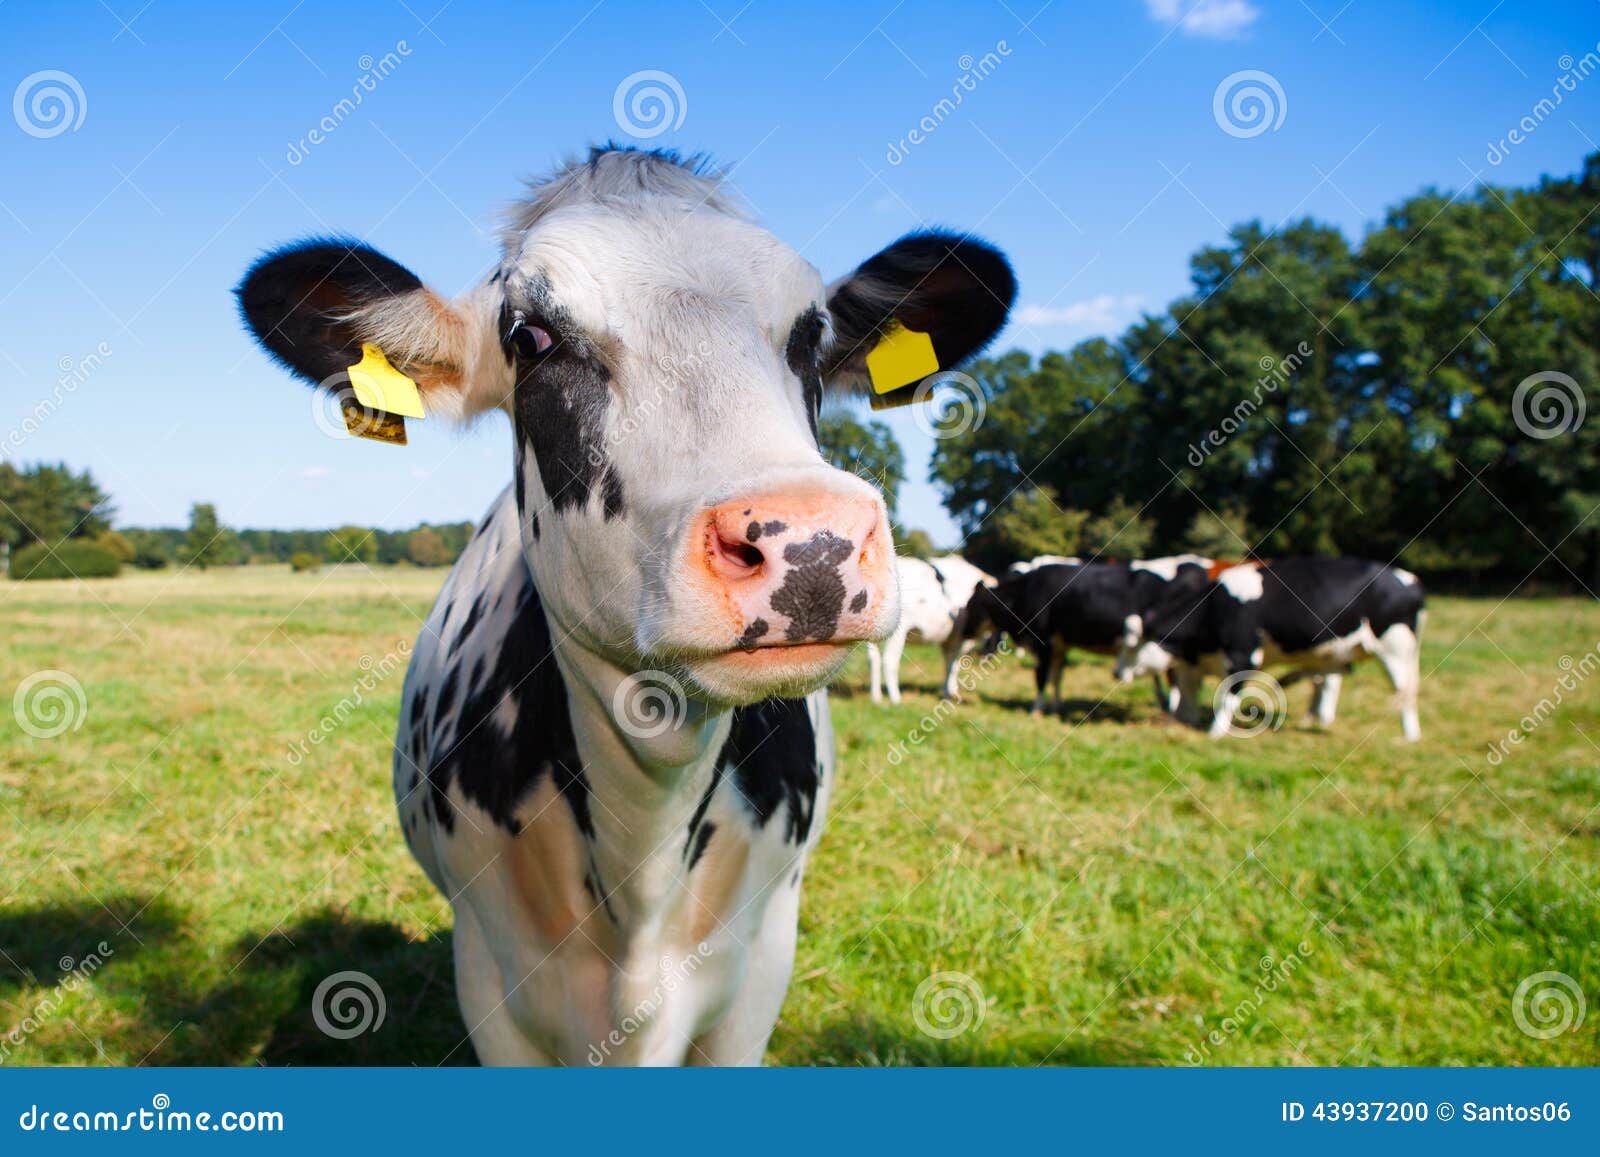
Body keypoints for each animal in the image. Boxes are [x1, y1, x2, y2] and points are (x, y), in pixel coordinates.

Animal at [865, 555, 994, 704]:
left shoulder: (949, 639)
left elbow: (949, 663)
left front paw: (949, 692)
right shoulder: (958, 637)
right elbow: (953, 665)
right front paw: (949, 693)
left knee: (873, 660)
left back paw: (876, 698)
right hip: (899, 631)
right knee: (889, 661)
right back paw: (896, 699)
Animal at [961, 557, 1212, 716]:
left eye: (972, 605)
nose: (963, 631)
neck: (1025, 592)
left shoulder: (1044, 642)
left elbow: (1041, 677)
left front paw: (1036, 709)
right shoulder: (1060, 644)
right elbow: (1057, 676)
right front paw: (1056, 706)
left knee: (1174, 677)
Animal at [1115, 557, 1425, 741]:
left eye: (1131, 646)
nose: (1115, 673)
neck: (1214, 607)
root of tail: (1411, 579)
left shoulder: (1243, 654)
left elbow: (1228, 694)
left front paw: (1215, 733)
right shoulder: (1195, 658)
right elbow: (1189, 692)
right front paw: (1186, 722)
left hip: (1395, 648)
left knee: (1405, 691)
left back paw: (1408, 738)